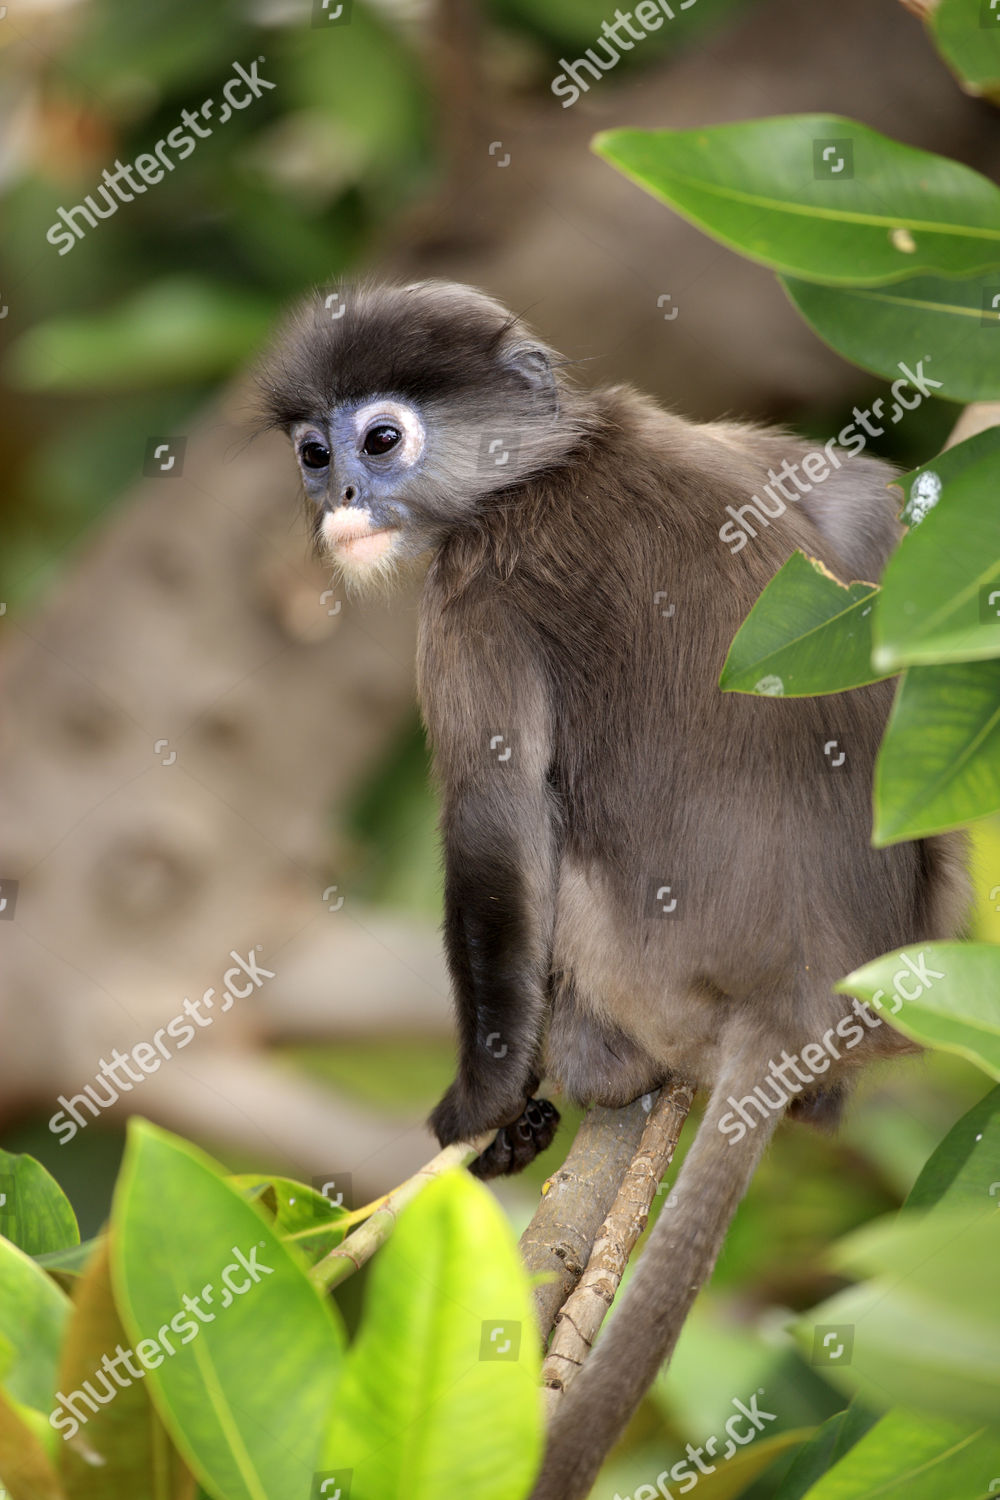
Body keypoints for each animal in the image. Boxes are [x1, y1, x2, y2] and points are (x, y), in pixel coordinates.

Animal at [257, 280, 969, 1499]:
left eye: (380, 440)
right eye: (312, 451)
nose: (337, 493)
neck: (546, 464)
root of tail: (793, 1002)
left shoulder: (472, 595)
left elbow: (495, 831)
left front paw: (483, 1108)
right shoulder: (706, 443)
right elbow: (860, 506)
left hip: (642, 969)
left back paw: (596, 1072)